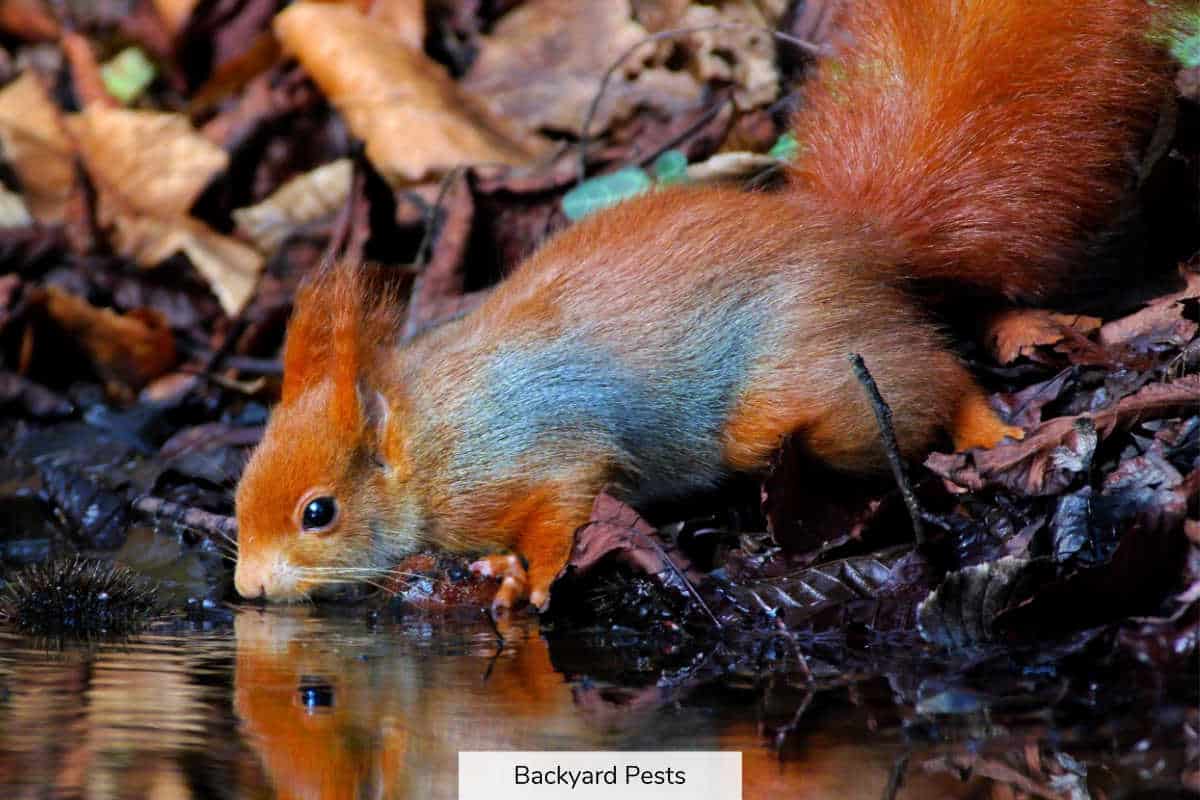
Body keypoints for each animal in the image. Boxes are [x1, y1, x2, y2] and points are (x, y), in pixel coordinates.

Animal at [234, 0, 1182, 609]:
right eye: (241, 488)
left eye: (319, 512)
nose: (247, 586)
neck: (428, 441)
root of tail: (853, 239)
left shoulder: (533, 454)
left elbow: (564, 505)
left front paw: (525, 579)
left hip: (809, 380)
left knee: (930, 373)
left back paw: (984, 424)